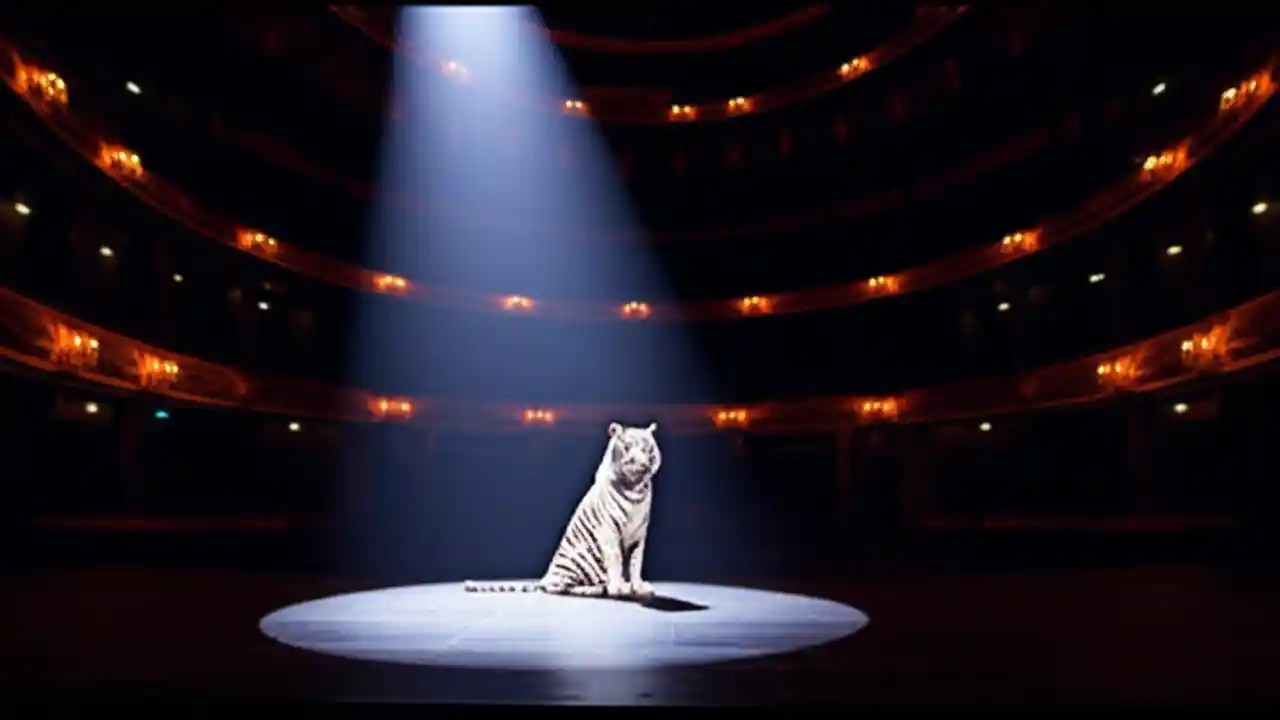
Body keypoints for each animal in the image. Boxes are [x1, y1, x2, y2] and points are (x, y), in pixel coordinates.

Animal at [464, 421, 661, 600]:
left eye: (648, 449)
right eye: (628, 446)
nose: (644, 465)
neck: (635, 489)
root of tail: (546, 577)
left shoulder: (638, 535)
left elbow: (635, 562)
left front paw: (638, 587)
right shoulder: (608, 531)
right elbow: (616, 560)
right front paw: (619, 587)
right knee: (562, 587)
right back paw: (596, 588)